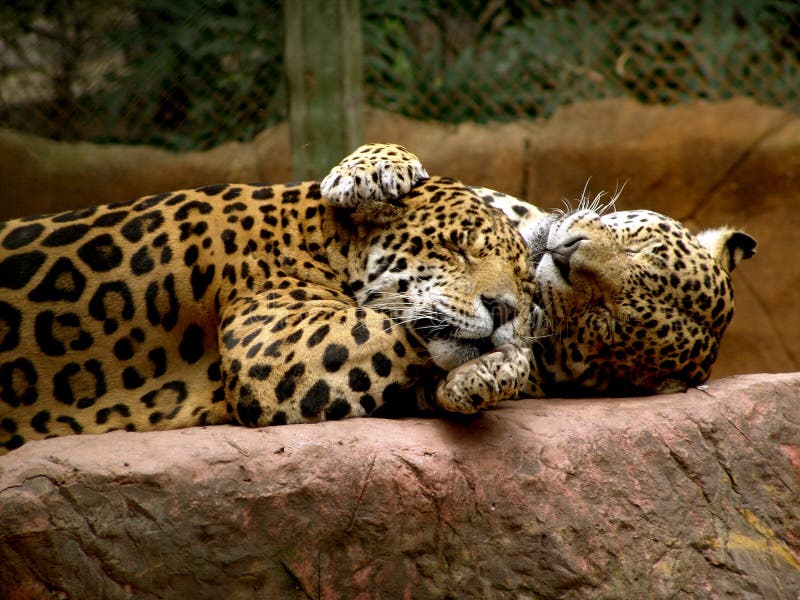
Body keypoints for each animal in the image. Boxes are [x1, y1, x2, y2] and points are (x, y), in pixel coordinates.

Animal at [0, 143, 536, 452]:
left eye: (524, 281)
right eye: (456, 247)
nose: (505, 310)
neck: (317, 237)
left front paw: (483, 375)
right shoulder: (272, 341)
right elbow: (396, 327)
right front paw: (505, 364)